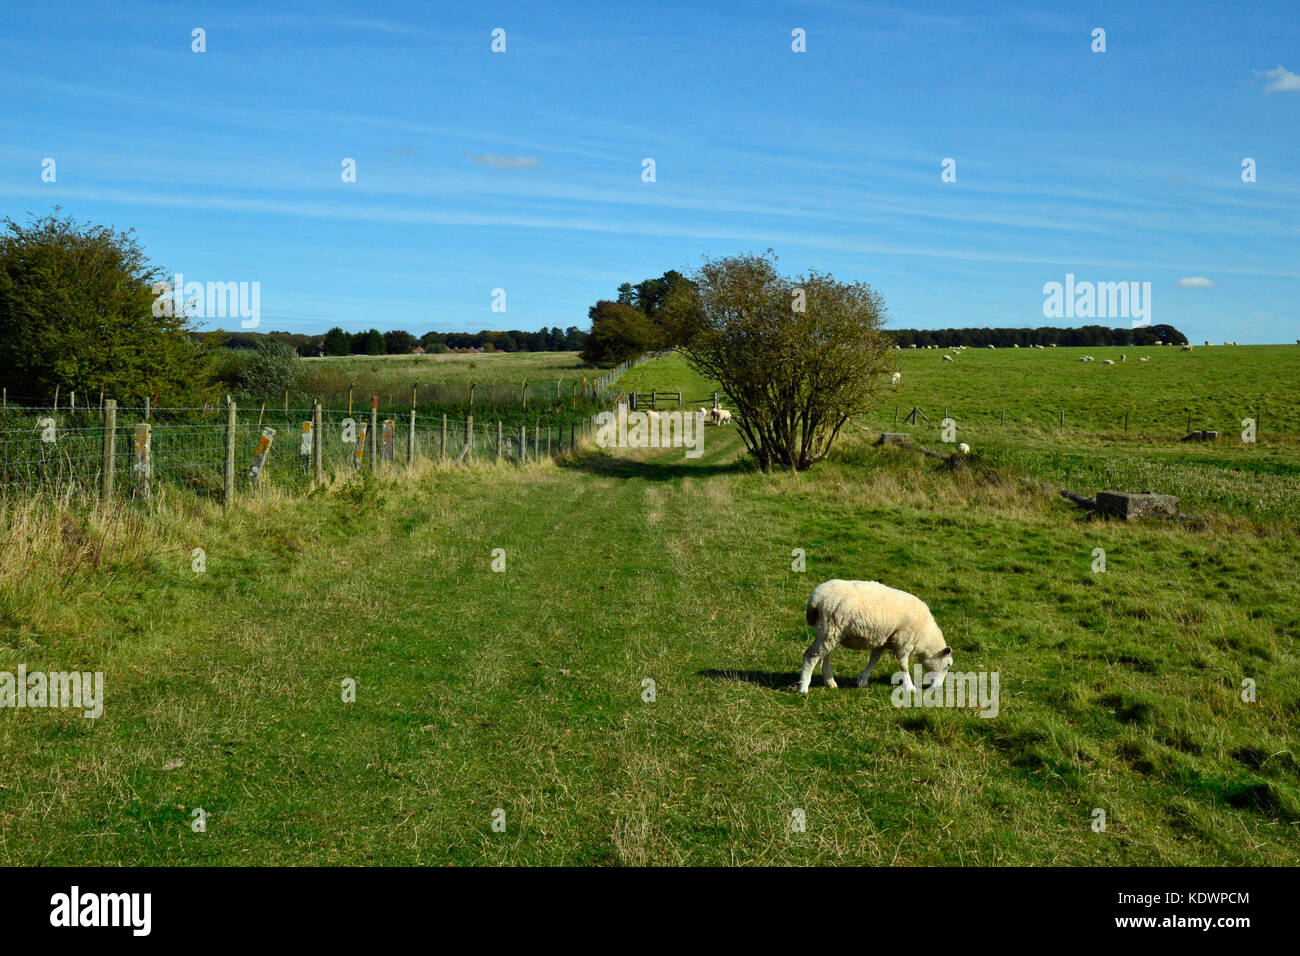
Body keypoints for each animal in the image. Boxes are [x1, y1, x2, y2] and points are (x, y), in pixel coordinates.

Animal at [800, 580, 952, 694]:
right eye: (948, 665)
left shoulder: (883, 640)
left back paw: (830, 682)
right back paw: (804, 687)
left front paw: (862, 679)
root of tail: (816, 598)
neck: (925, 635)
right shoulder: (903, 641)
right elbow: (904, 665)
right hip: (830, 630)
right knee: (811, 656)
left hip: (828, 633)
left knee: (824, 656)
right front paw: (910, 687)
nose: (938, 688)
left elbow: (873, 660)